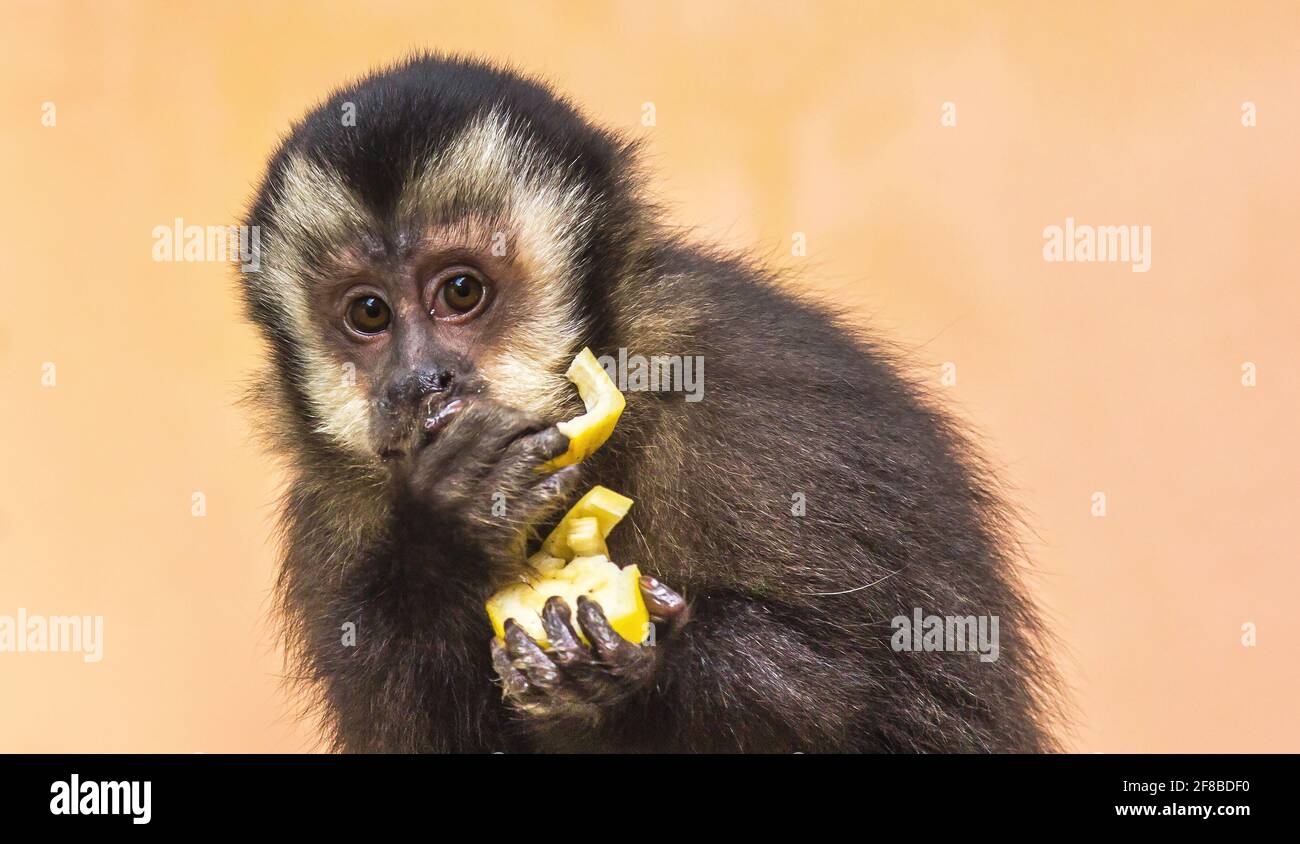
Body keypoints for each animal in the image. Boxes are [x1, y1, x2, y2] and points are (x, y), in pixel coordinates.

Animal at [239, 54, 1060, 753]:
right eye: (368, 314)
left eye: (461, 292)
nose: (418, 382)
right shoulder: (329, 522)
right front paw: (449, 533)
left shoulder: (767, 417)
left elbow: (846, 688)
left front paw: (628, 674)